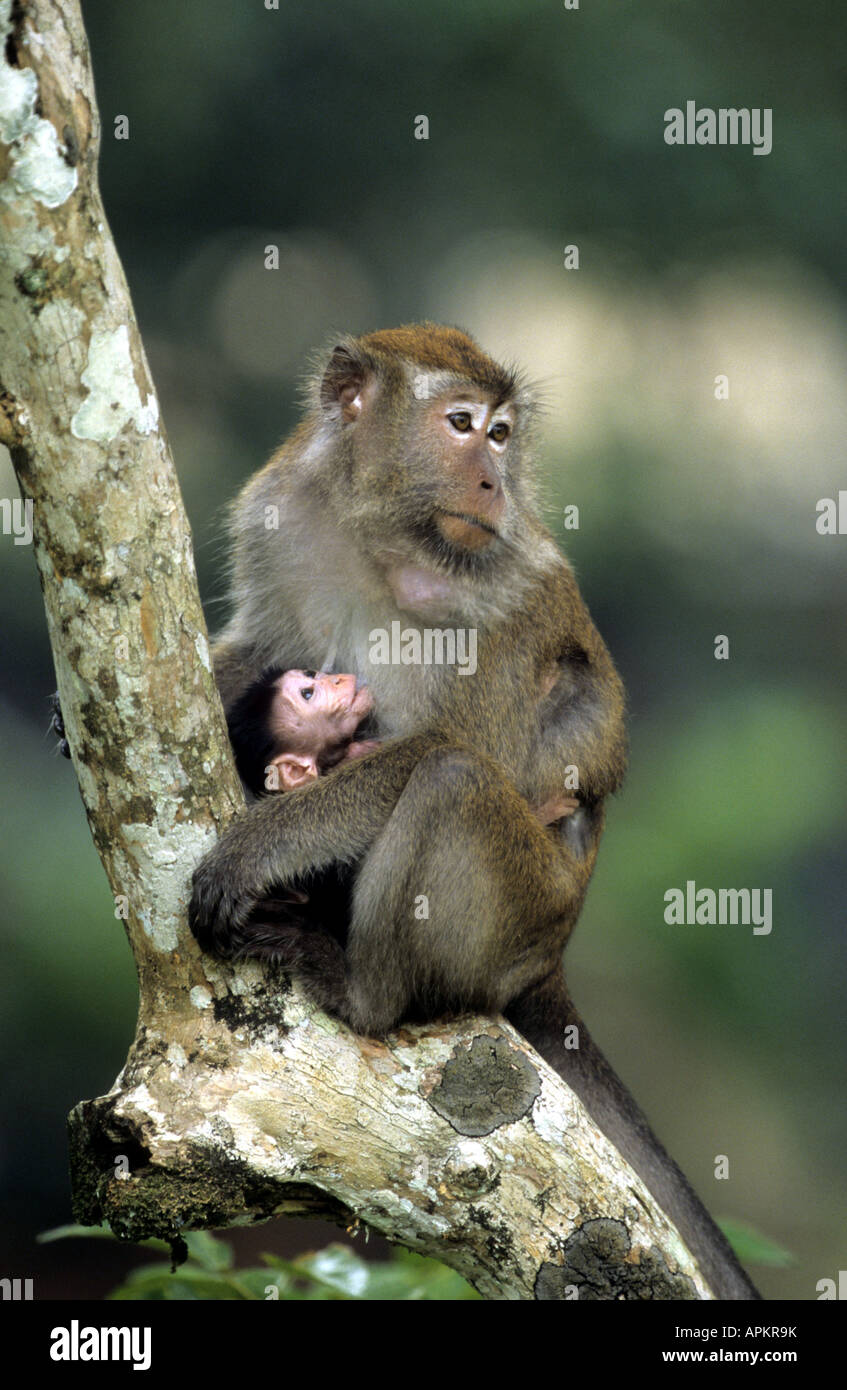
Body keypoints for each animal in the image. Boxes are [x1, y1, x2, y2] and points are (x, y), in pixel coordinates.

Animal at [188, 323, 759, 1299]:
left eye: (501, 435)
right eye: (459, 425)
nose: (494, 481)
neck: (380, 531)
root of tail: (553, 952)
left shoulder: (504, 594)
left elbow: (461, 747)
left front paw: (256, 846)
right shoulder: (278, 508)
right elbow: (260, 643)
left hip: (514, 915)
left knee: (453, 781)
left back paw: (364, 993)